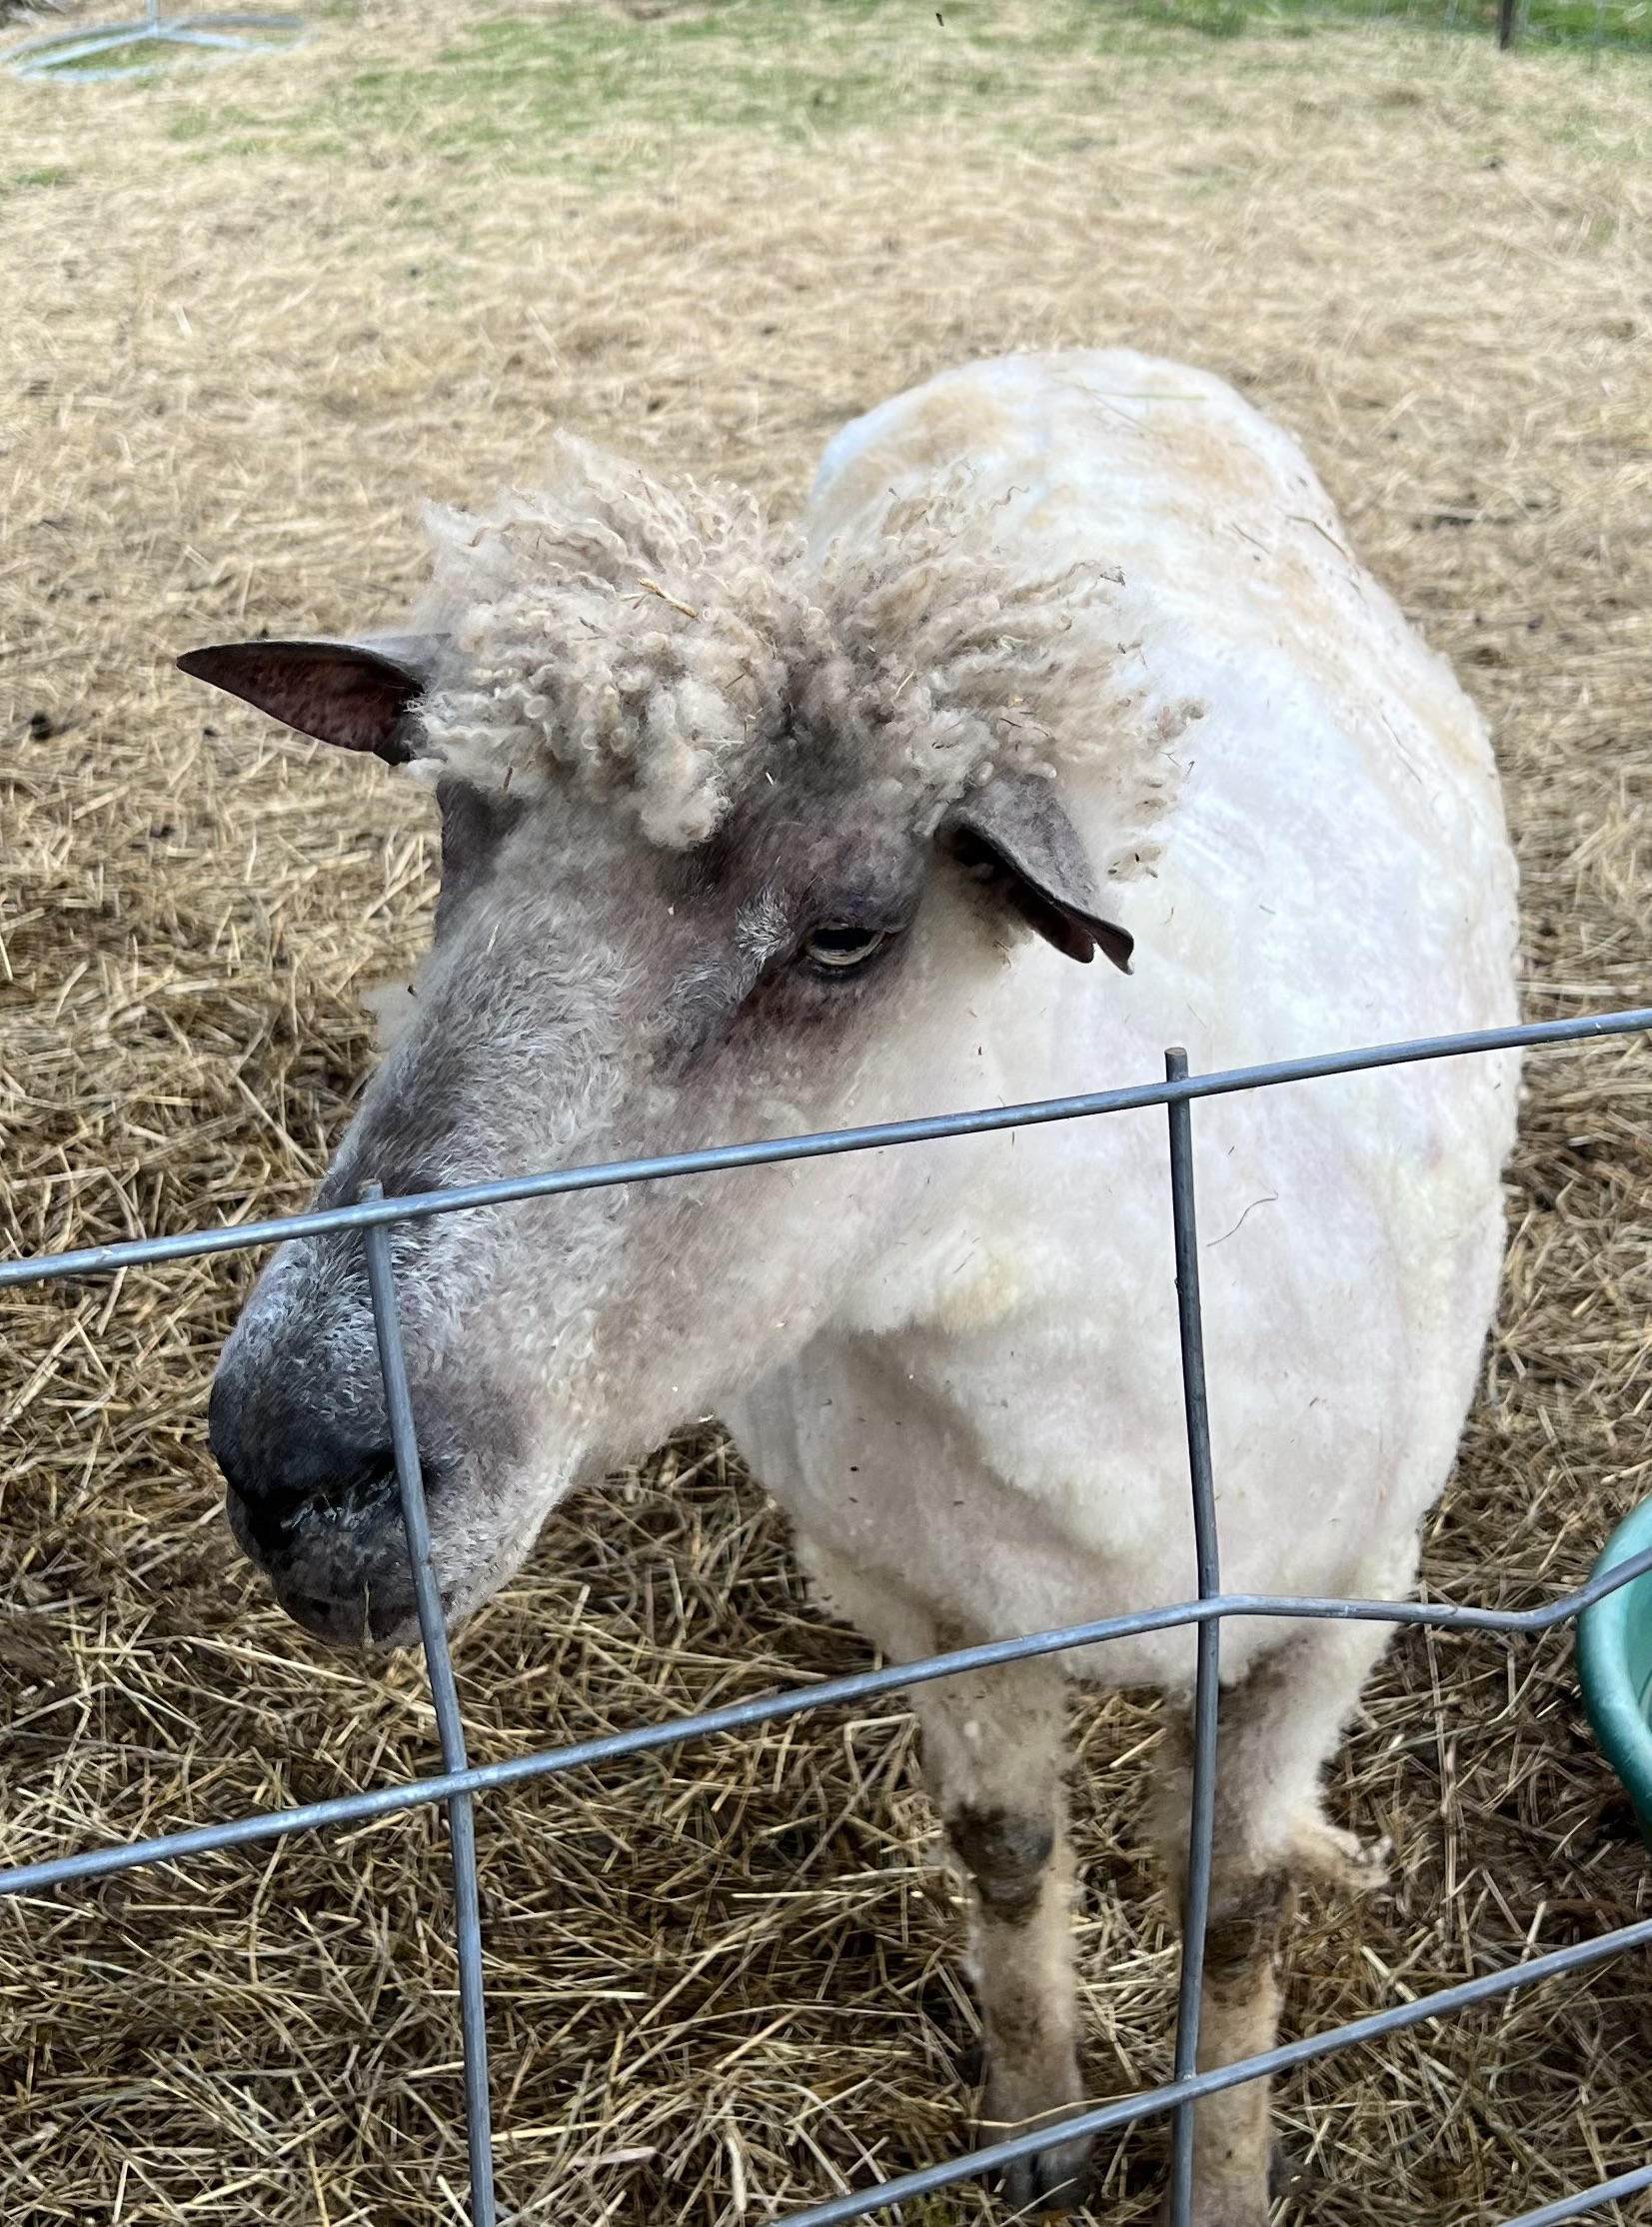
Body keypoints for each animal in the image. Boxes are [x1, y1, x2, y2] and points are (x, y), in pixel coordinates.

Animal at [186, 349, 1519, 2222]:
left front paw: (1223, 2172)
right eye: (451, 829)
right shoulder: (924, 1592)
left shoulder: (1336, 1597)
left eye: (846, 935)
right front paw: (1039, 2123)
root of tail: (1059, 348)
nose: (292, 1462)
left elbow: (1233, 1908)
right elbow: (1004, 1848)